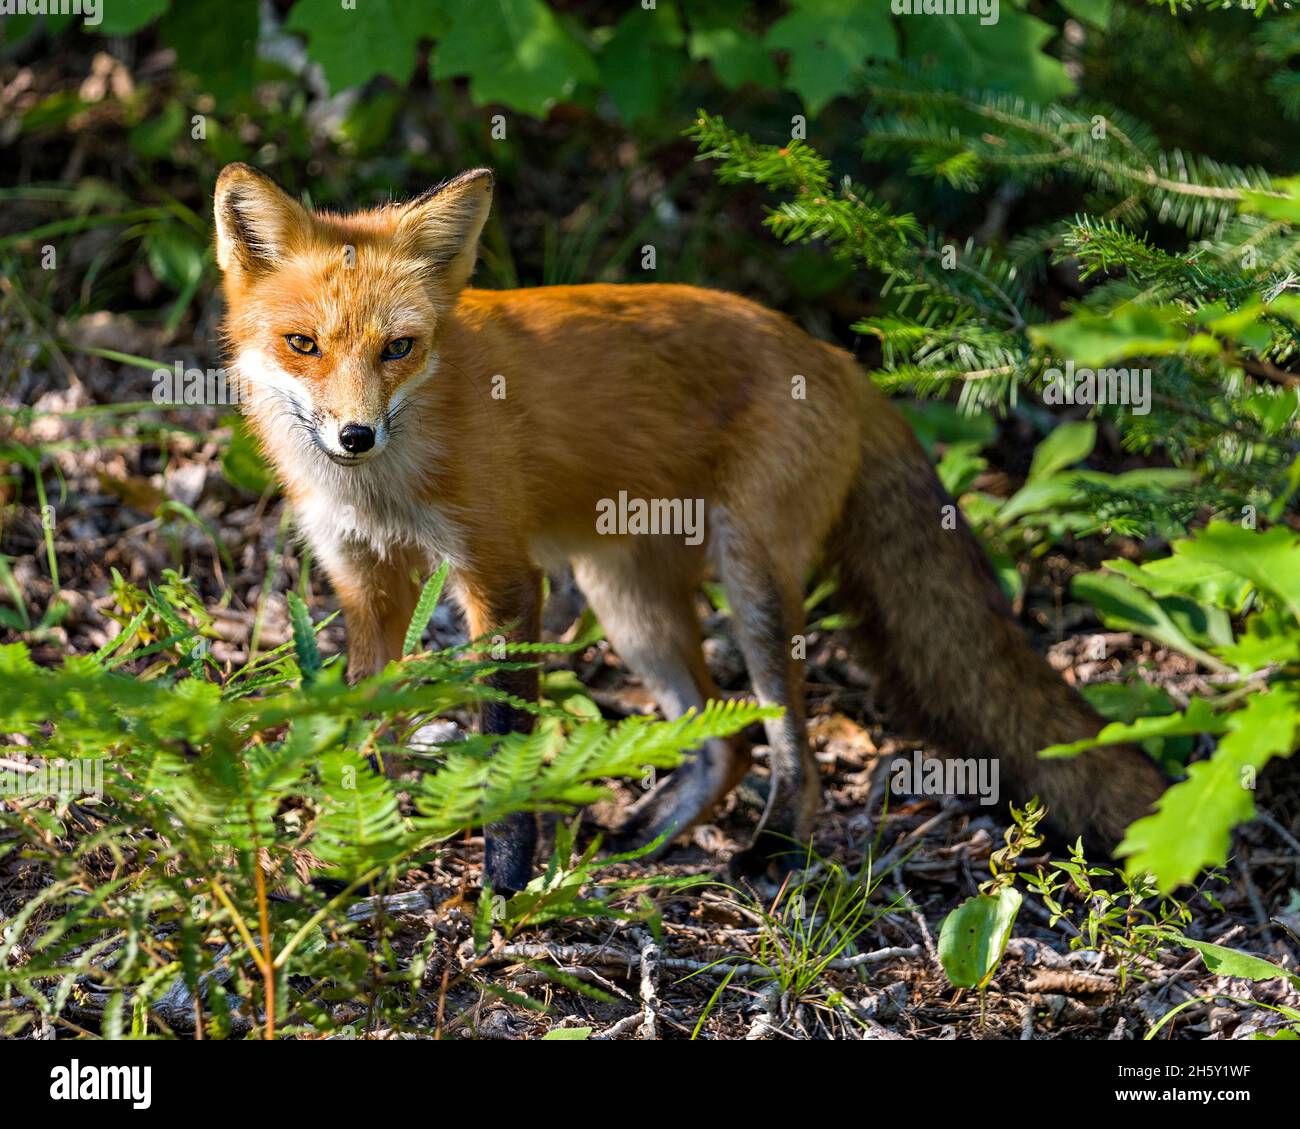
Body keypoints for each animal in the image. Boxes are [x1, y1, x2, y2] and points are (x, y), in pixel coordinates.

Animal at [213, 162, 1168, 893]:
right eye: (303, 344)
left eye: (398, 349)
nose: (354, 435)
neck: (386, 487)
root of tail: (835, 356)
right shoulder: (367, 588)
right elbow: (362, 736)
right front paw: (349, 859)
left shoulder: (501, 578)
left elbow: (506, 751)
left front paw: (502, 883)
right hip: (627, 602)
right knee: (724, 740)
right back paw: (650, 840)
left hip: (751, 584)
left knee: (786, 740)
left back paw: (771, 846)